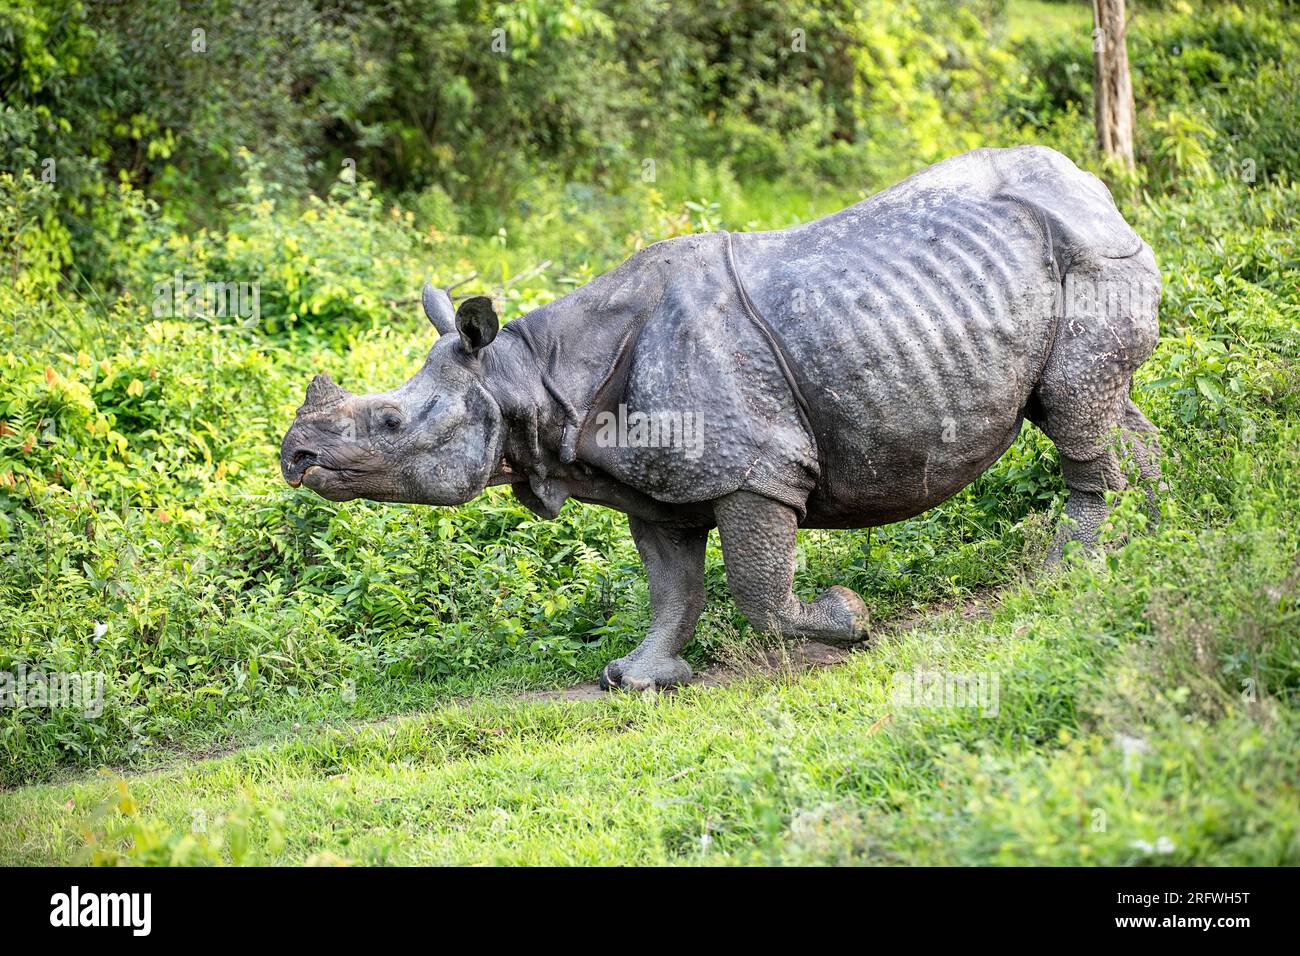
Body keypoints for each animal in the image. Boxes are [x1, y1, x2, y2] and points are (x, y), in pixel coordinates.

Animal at [281, 146, 1163, 689]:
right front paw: (639, 678)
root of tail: (1096, 185)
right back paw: (1158, 530)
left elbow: (758, 592)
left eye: (390, 425)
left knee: (1075, 414)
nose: (294, 456)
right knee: (1098, 409)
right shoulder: (654, 487)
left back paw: (1068, 569)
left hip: (1089, 257)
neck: (525, 375)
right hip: (1052, 259)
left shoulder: (757, 468)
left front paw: (848, 618)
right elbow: (674, 589)